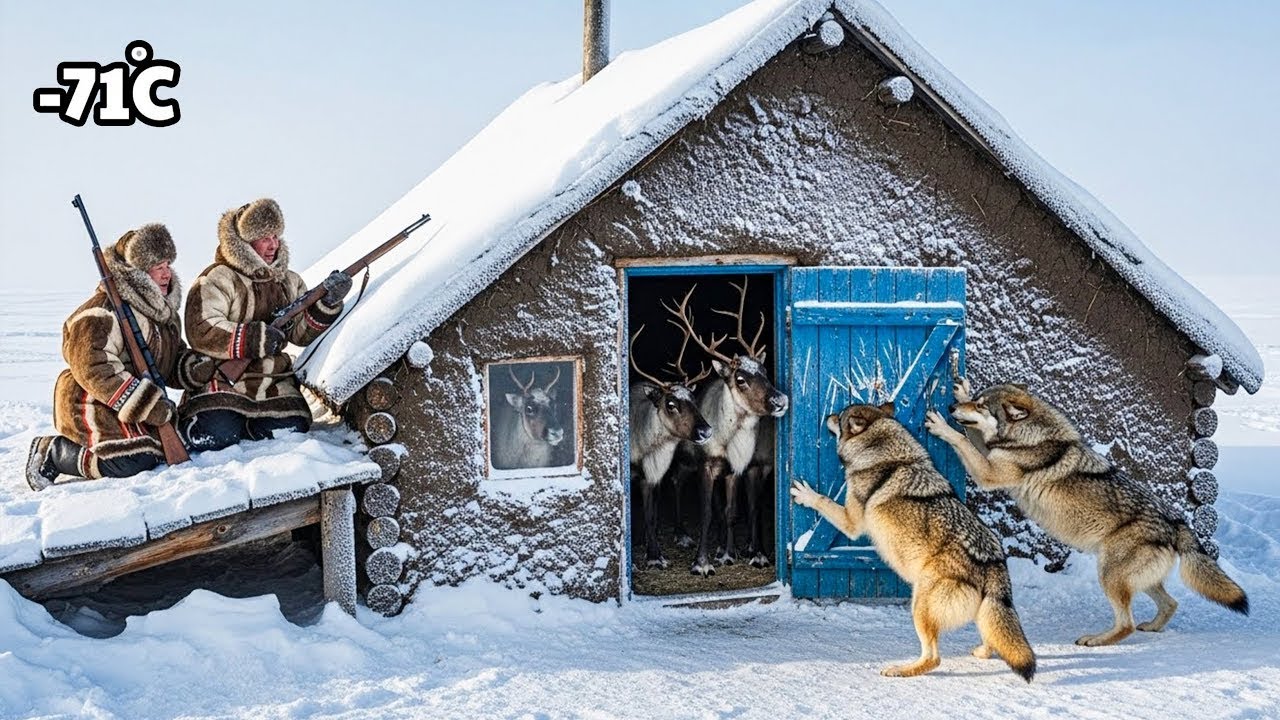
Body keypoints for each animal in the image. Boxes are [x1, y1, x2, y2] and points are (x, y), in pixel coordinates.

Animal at [629, 324, 712, 568]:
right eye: (671, 404)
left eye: (694, 399)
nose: (705, 431)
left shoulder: (651, 477)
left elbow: (651, 514)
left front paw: (655, 555)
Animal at [665, 277, 789, 576]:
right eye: (741, 378)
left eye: (765, 371)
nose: (780, 400)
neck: (726, 437)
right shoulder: (707, 465)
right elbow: (707, 513)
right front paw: (702, 563)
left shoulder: (741, 467)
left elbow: (736, 510)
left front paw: (740, 554)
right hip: (684, 458)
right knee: (675, 481)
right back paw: (681, 535)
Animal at [791, 402, 1036, 681]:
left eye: (840, 417)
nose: (828, 416)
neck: (891, 457)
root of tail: (992, 560)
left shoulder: (851, 523)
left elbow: (823, 501)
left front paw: (805, 494)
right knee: (992, 639)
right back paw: (980, 651)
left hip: (919, 605)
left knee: (933, 658)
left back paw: (899, 670)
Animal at [925, 381, 1249, 646]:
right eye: (976, 400)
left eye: (982, 406)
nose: (951, 407)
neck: (1030, 436)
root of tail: (1177, 521)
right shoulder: (990, 458)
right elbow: (973, 436)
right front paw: (961, 390)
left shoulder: (988, 473)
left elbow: (963, 439)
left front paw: (942, 426)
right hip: (1136, 580)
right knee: (1170, 604)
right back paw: (1152, 627)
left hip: (1109, 575)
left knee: (1126, 624)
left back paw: (1095, 640)